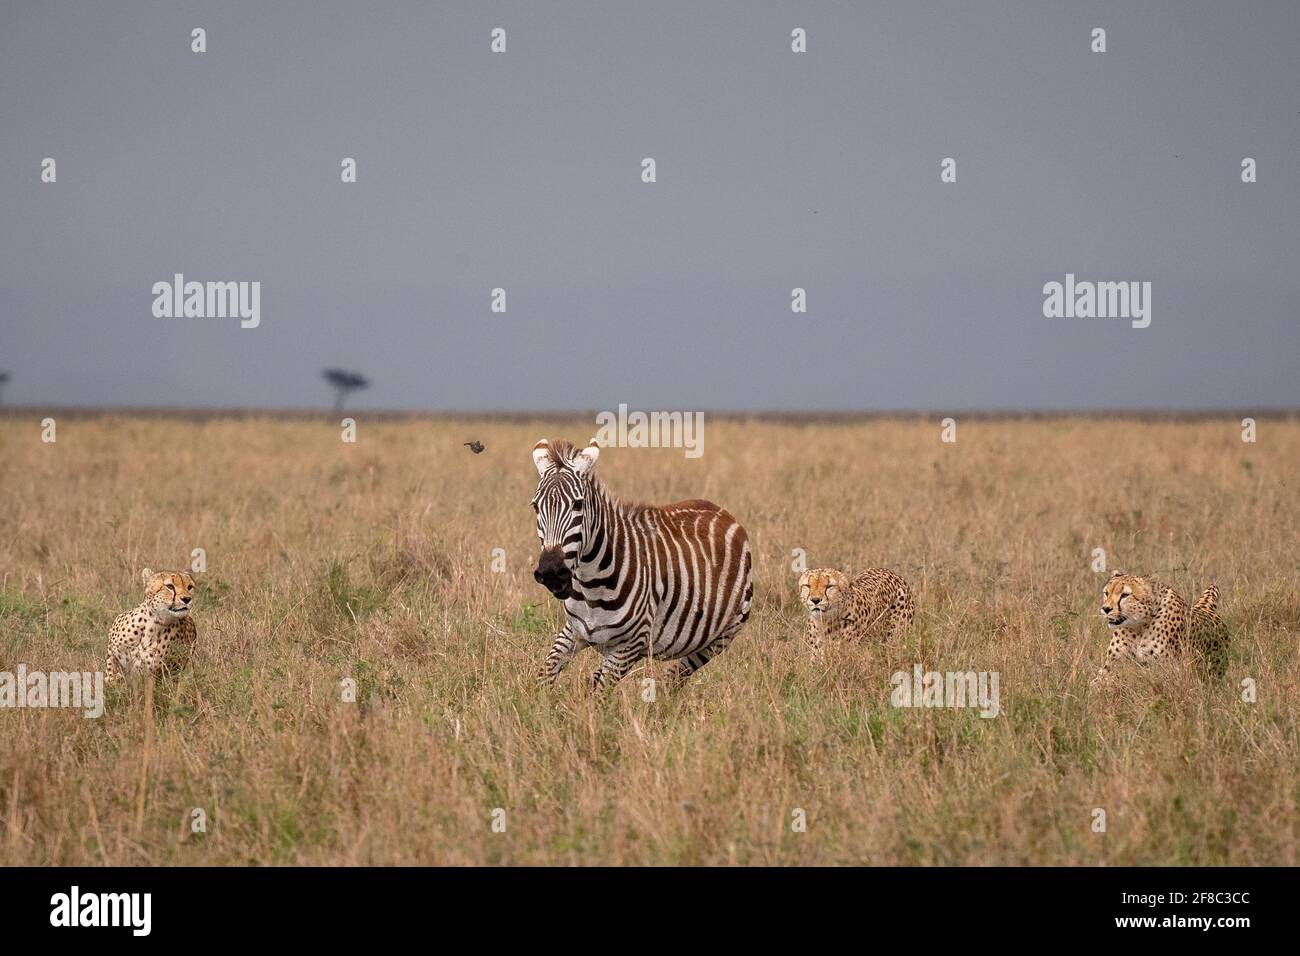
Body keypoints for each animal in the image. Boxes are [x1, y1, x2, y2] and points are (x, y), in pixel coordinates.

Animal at [529, 438, 754, 691]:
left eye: (578, 505)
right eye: (535, 506)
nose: (551, 572)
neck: (591, 585)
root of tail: (723, 512)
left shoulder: (630, 645)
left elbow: (600, 694)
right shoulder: (574, 631)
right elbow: (544, 675)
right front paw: (538, 701)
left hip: (721, 637)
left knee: (674, 678)